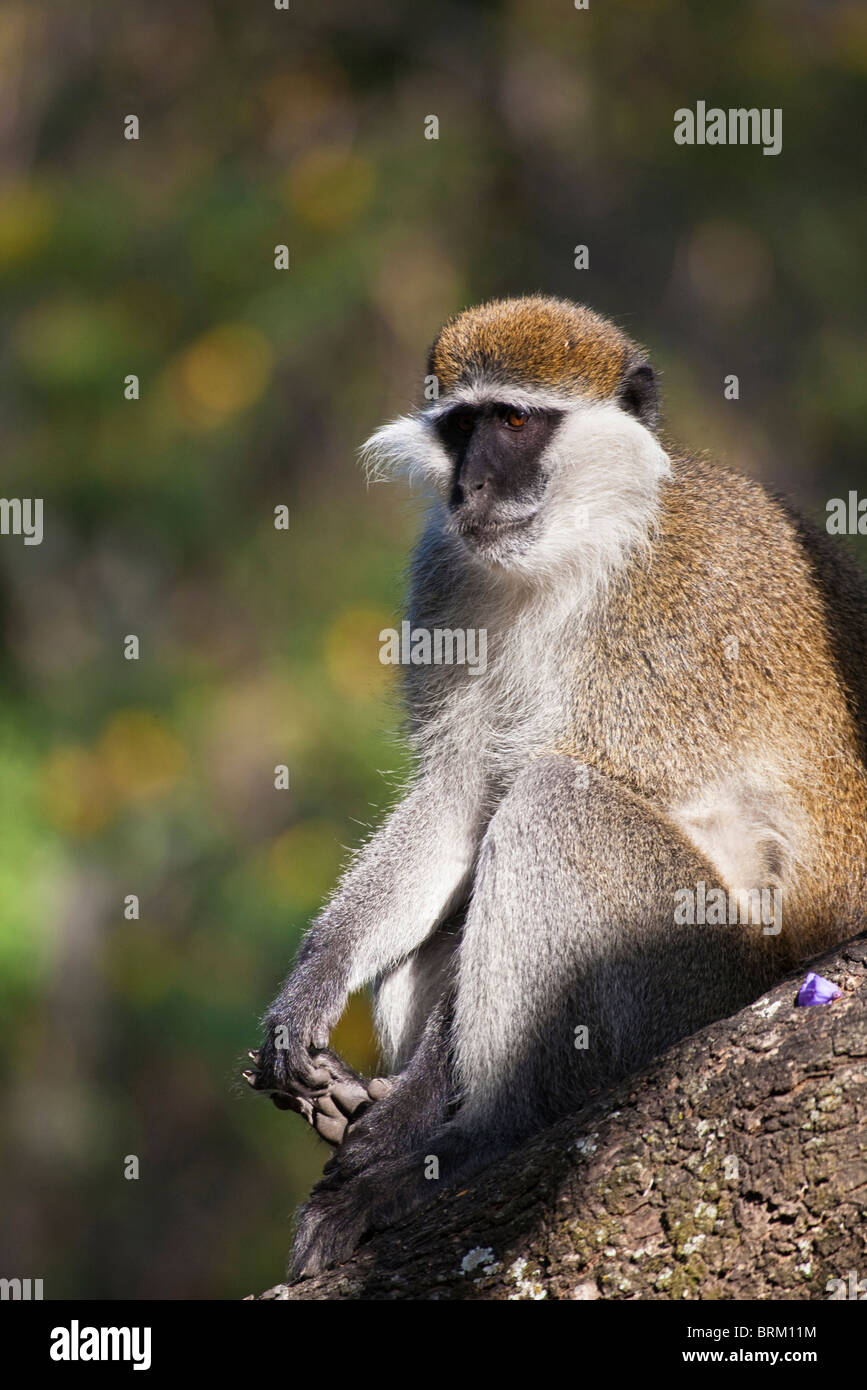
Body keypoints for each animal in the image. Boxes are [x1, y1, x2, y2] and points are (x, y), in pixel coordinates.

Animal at [245, 295, 867, 1277]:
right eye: (461, 427)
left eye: (513, 422)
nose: (469, 492)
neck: (581, 542)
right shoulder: (443, 572)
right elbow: (459, 793)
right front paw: (316, 977)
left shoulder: (663, 622)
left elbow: (531, 791)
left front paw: (413, 1123)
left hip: (696, 981)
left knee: (550, 801)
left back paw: (479, 1137)